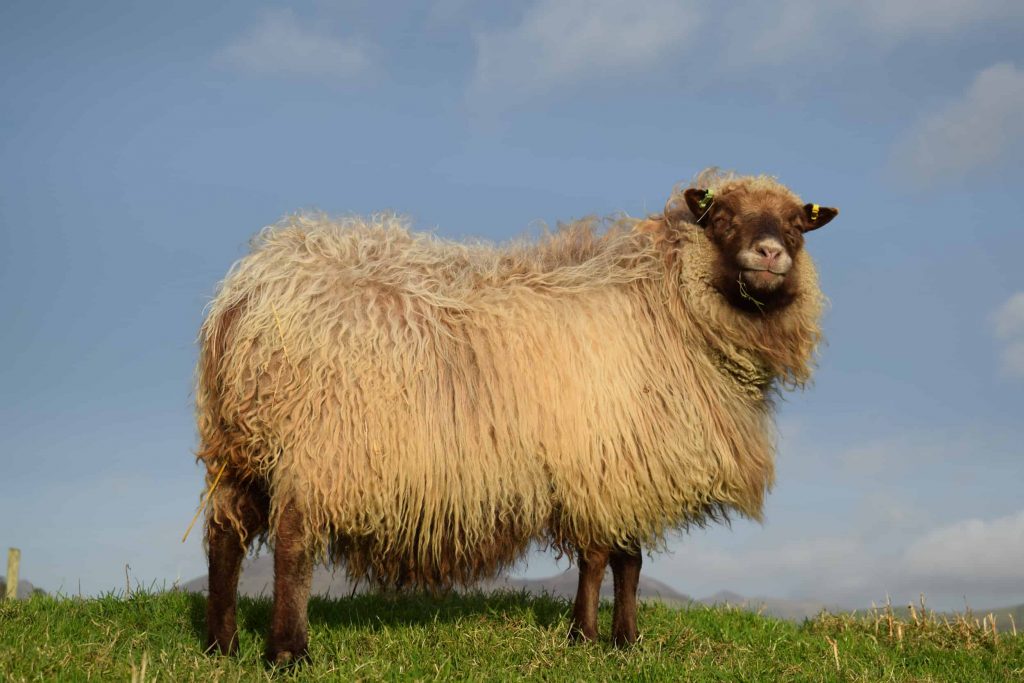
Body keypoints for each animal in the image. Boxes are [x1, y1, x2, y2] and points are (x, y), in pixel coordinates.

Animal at [195, 169, 838, 663]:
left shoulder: (625, 466)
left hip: (240, 444)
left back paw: (222, 645)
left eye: (796, 225)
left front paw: (625, 641)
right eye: (722, 216)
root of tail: (251, 291)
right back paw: (288, 652)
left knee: (224, 535)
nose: (771, 254)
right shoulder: (603, 459)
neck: (664, 301)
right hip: (319, 444)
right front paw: (586, 638)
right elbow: (602, 557)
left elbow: (627, 558)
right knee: (293, 545)